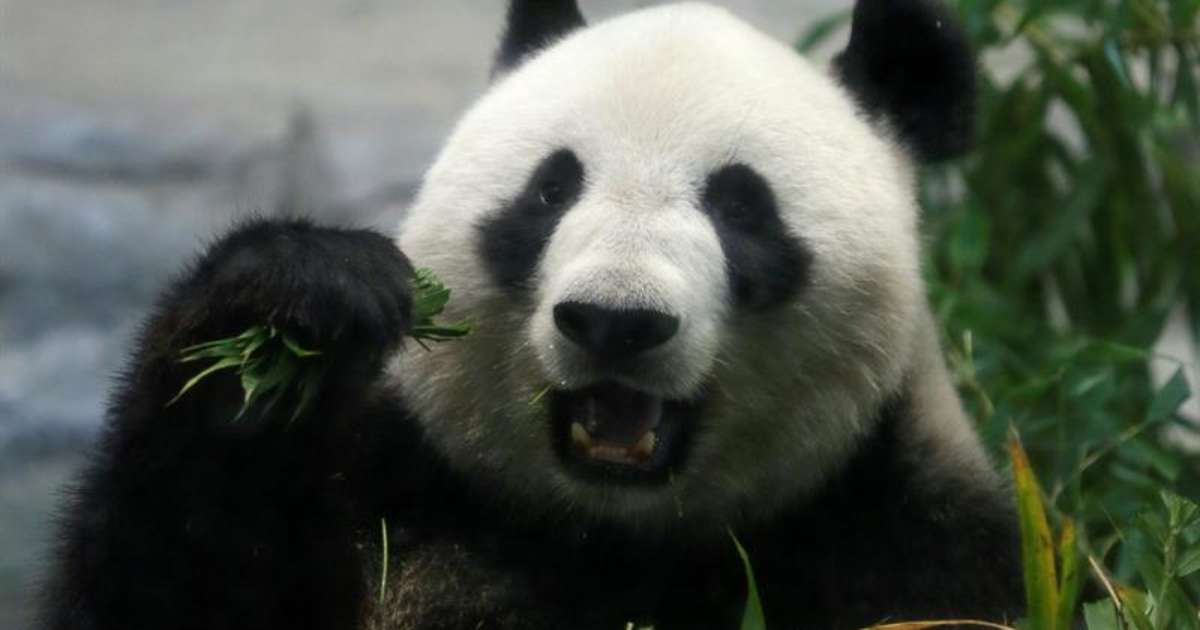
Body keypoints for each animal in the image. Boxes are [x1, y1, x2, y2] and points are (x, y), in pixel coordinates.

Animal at [39, 1, 1024, 629]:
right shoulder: (400, 488)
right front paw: (284, 329)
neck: (612, 534)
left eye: (742, 207)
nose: (616, 321)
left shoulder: (908, 544)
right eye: (551, 189)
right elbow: (166, 586)